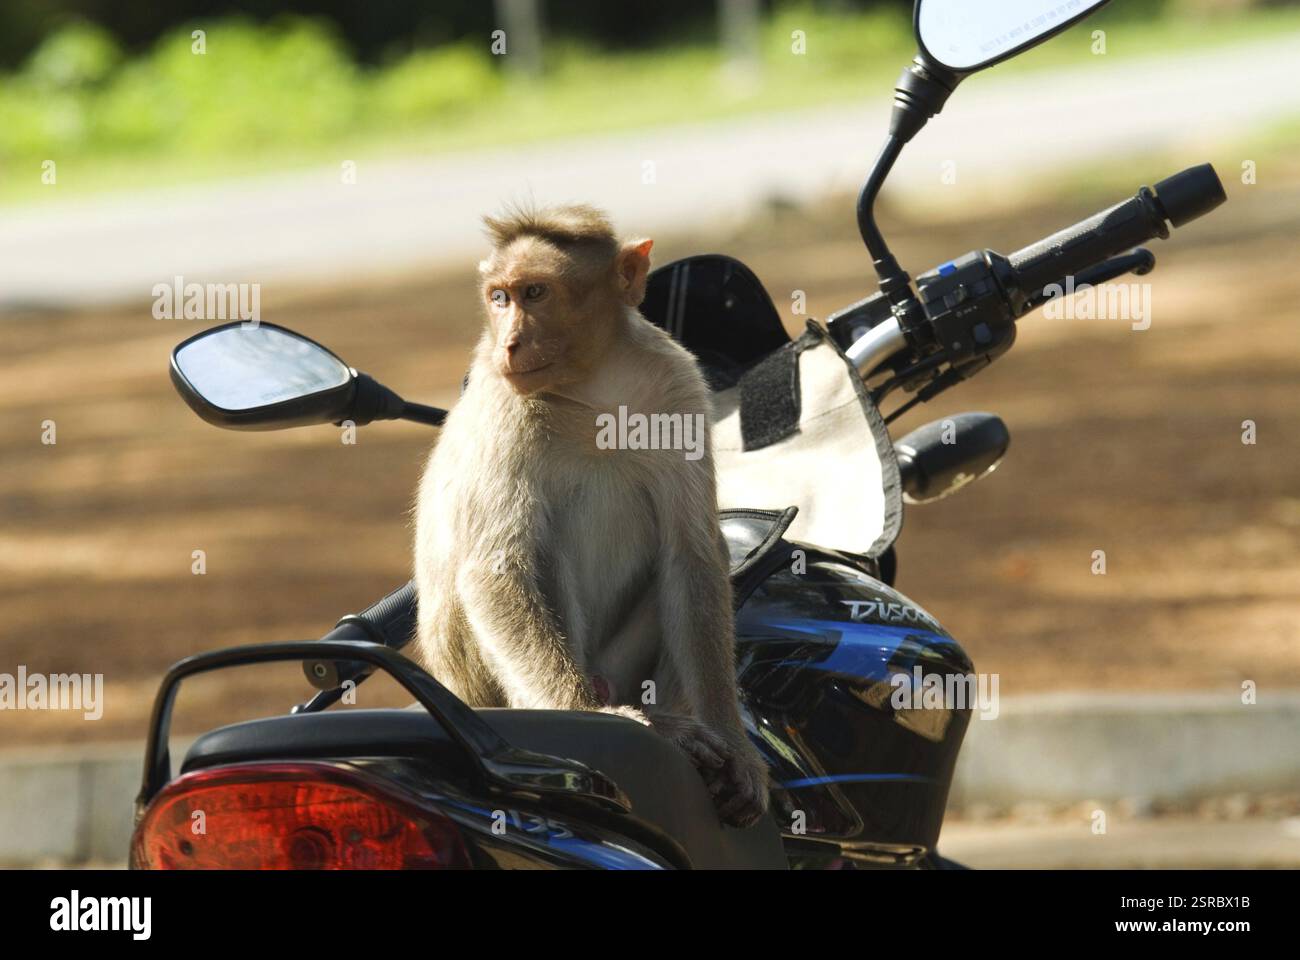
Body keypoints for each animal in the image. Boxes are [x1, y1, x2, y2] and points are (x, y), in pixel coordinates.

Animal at [413, 203, 769, 827]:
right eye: (499, 297)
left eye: (535, 292)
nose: (510, 343)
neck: (597, 389)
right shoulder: (504, 410)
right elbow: (494, 571)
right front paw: (601, 722)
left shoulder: (679, 388)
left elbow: (694, 553)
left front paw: (736, 746)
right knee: (540, 548)